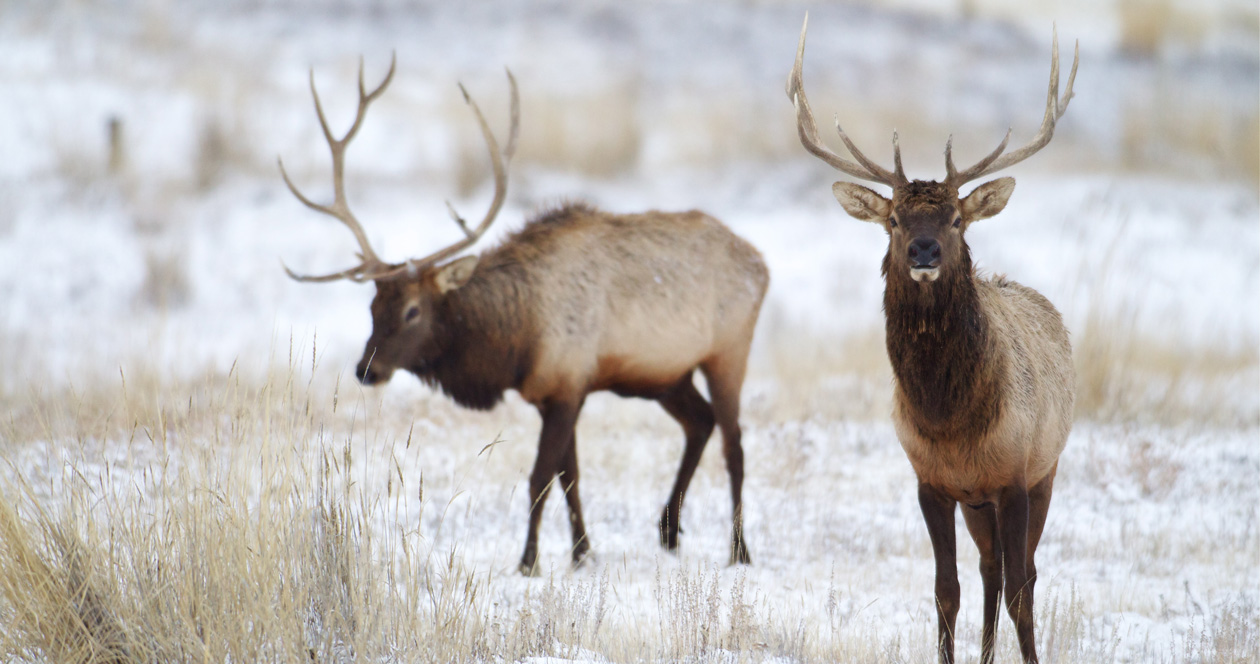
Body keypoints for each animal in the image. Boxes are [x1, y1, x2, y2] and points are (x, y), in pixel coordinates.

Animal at [277, 57, 769, 576]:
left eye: (412, 310)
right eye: (372, 307)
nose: (366, 369)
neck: (515, 340)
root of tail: (761, 262)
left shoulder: (569, 383)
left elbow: (539, 478)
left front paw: (528, 561)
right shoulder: (552, 392)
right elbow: (569, 475)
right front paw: (581, 553)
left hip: (728, 351)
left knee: (735, 443)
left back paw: (738, 549)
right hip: (665, 375)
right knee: (700, 423)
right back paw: (669, 531)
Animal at [786, 16, 1077, 664]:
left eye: (956, 219)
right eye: (894, 220)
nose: (924, 251)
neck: (951, 420)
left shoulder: (1016, 475)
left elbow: (1023, 590)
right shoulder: (931, 481)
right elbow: (946, 591)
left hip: (1046, 470)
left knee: (1022, 573)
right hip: (978, 502)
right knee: (990, 568)